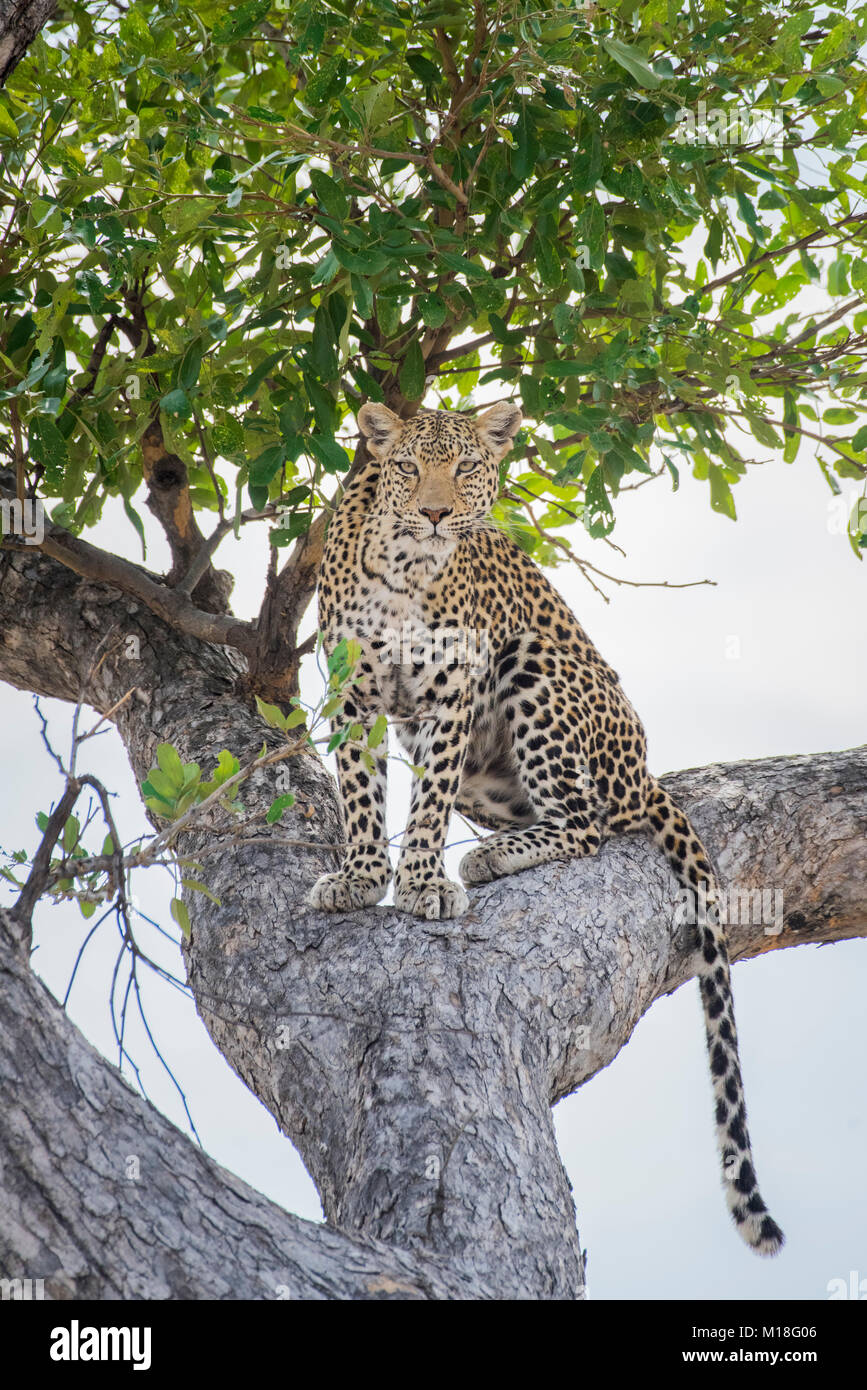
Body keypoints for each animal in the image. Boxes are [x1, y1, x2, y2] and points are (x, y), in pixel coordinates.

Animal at [308, 399, 784, 1258]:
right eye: (408, 469)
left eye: (465, 468)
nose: (436, 512)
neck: (406, 569)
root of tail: (645, 768)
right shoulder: (353, 697)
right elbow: (361, 792)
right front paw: (360, 876)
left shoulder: (453, 692)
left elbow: (424, 802)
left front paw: (420, 881)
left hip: (534, 667)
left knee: (590, 823)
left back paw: (489, 859)